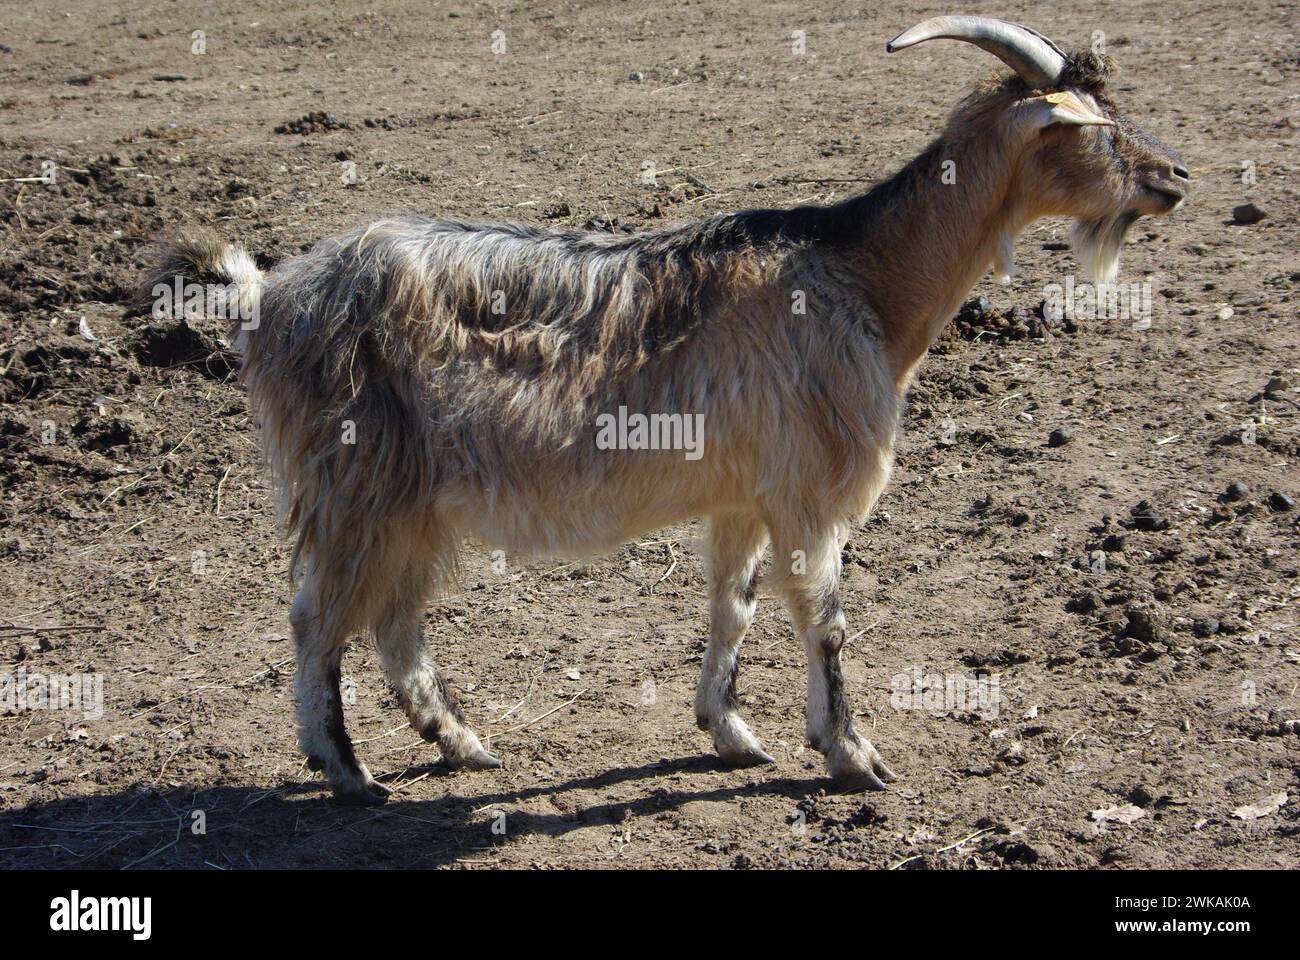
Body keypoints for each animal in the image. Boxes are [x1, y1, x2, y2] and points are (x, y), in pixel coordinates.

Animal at [141, 16, 1188, 804]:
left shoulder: (743, 496)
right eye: (1094, 125)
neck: (861, 277)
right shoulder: (805, 493)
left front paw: (729, 729)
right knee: (316, 617)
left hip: (410, 497)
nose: (1176, 176)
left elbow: (733, 606)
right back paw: (348, 771)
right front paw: (853, 755)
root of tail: (270, 295)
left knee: (394, 619)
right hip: (353, 476)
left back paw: (461, 742)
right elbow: (826, 620)